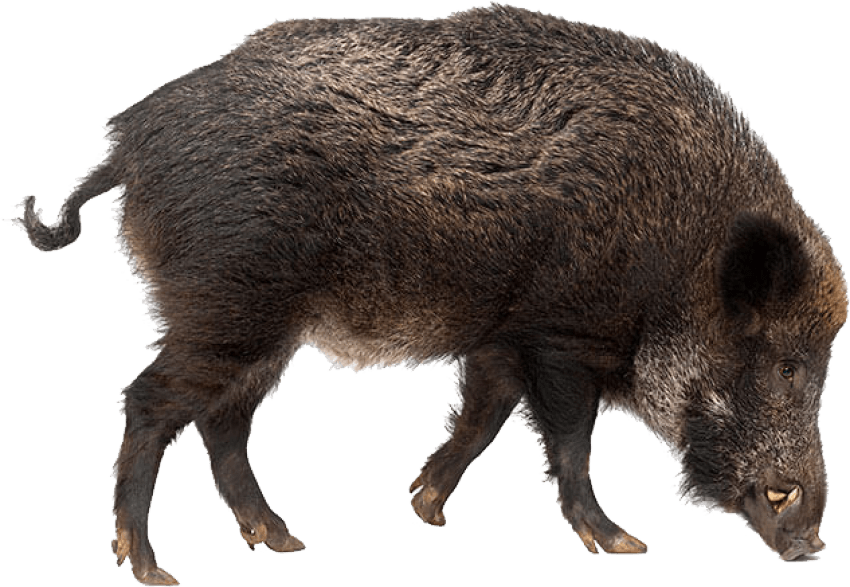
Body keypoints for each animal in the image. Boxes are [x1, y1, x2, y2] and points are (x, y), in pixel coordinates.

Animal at [6, 4, 847, 585]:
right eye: (788, 366)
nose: (811, 542)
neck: (681, 251)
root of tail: (129, 144)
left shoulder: (502, 340)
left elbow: (481, 421)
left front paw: (425, 508)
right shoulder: (560, 335)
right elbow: (569, 441)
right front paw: (624, 544)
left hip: (261, 324)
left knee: (223, 420)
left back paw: (283, 541)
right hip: (229, 304)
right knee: (152, 401)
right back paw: (153, 568)